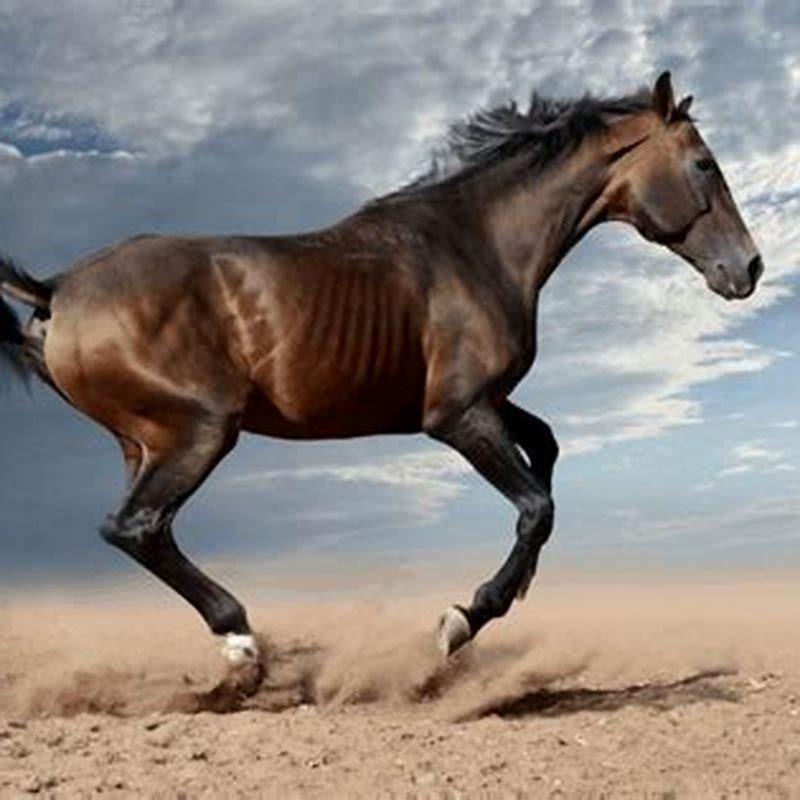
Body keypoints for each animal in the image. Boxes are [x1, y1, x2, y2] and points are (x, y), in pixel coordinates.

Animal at [0, 72, 762, 710]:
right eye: (705, 164)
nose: (749, 269)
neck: (476, 244)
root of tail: (56, 291)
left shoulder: (484, 402)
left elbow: (545, 450)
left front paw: (512, 592)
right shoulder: (457, 416)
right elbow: (536, 507)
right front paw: (459, 623)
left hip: (145, 440)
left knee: (141, 531)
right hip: (198, 431)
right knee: (134, 527)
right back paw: (244, 650)